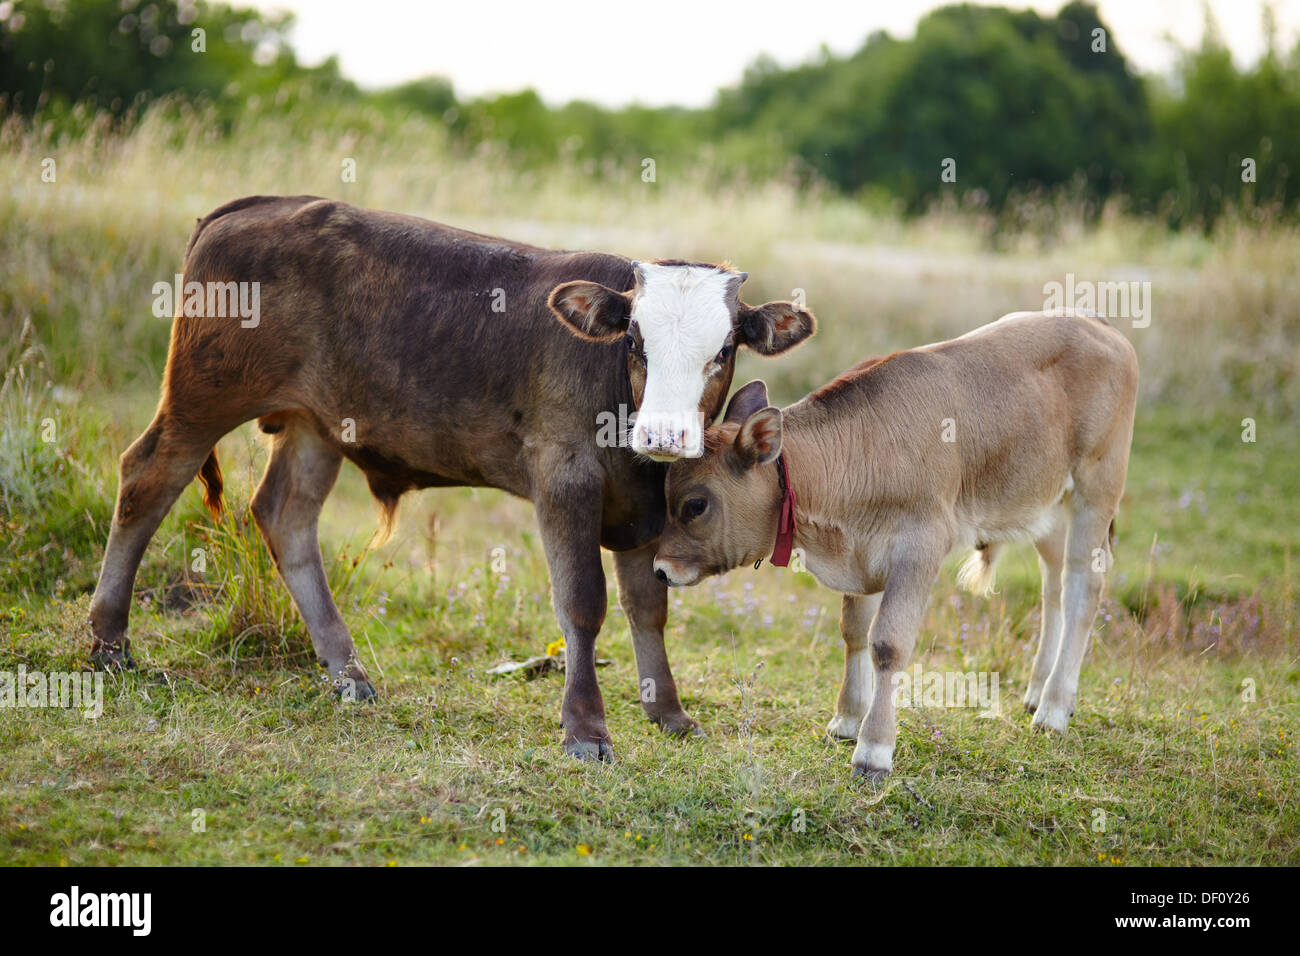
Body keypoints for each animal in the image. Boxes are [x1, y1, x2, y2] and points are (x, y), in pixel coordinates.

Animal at [87, 195, 815, 759]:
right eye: (635, 342)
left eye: (724, 350)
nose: (664, 435)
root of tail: (250, 206)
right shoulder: (563, 475)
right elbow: (583, 603)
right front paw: (585, 728)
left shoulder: (642, 506)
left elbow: (649, 606)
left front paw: (667, 712)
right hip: (203, 396)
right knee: (147, 478)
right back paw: (109, 640)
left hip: (315, 424)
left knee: (285, 516)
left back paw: (345, 670)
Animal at [652, 310, 1138, 778]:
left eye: (695, 504)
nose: (660, 568)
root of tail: (1091, 319)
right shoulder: (861, 554)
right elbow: (853, 632)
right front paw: (847, 719)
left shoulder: (919, 547)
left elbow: (887, 643)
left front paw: (873, 751)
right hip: (1047, 504)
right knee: (1054, 588)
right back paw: (1038, 691)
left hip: (1097, 488)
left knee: (1083, 590)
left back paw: (1054, 708)